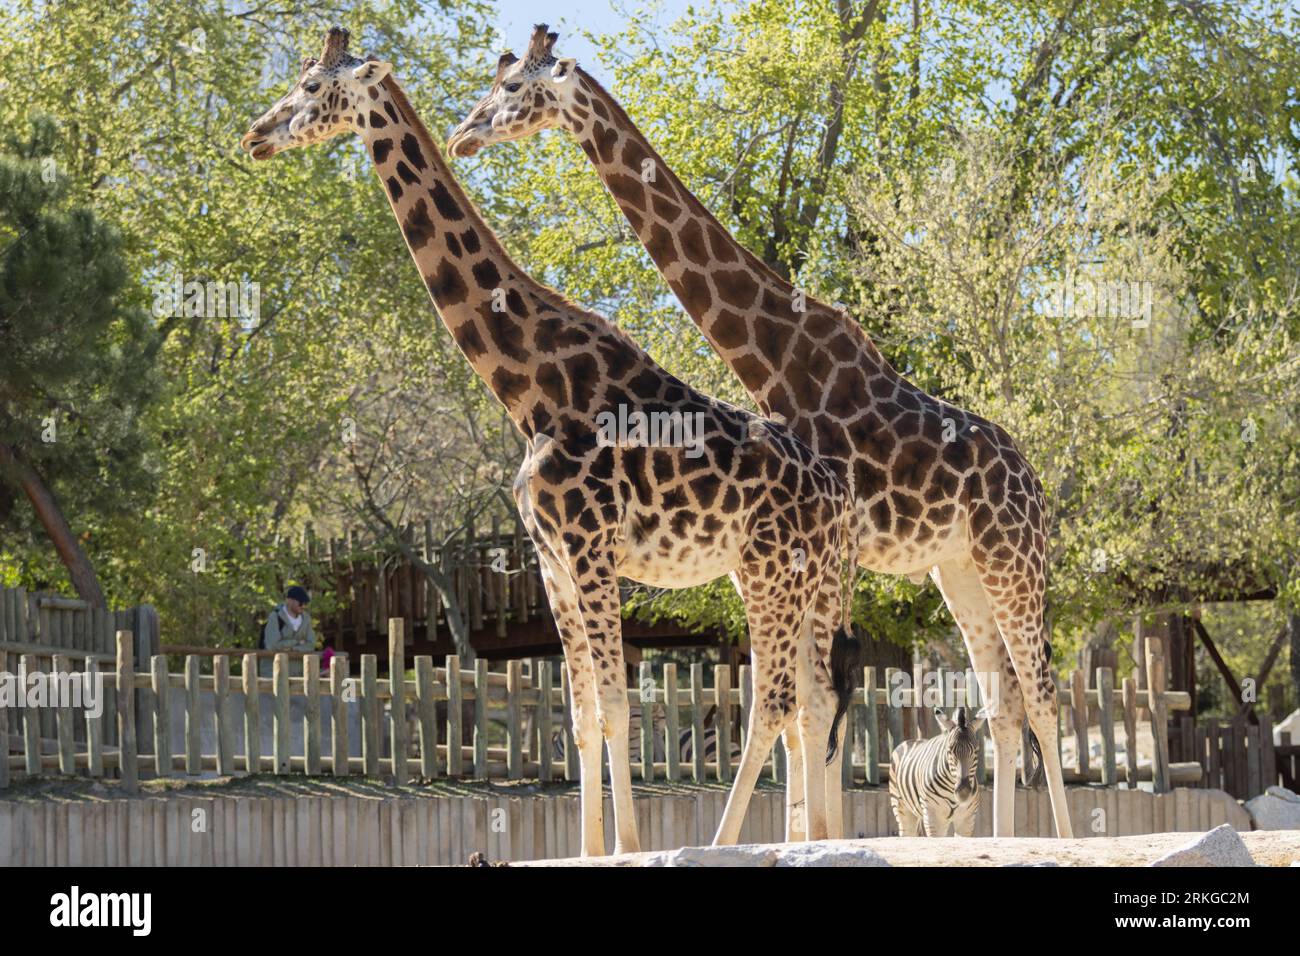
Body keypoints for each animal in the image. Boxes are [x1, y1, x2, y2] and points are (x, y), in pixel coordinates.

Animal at [241, 27, 861, 854]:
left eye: (312, 88)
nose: (255, 135)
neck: (529, 387)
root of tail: (837, 494)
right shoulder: (551, 558)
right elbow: (582, 713)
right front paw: (591, 847)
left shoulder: (593, 547)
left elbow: (621, 707)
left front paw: (629, 848)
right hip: (787, 581)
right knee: (813, 701)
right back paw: (811, 838)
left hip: (773, 572)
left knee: (777, 700)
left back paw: (732, 842)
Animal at [447, 25, 1075, 840]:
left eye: (514, 89)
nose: (463, 134)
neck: (776, 356)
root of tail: (1034, 481)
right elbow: (814, 705)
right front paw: (805, 836)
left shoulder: (836, 547)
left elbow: (818, 702)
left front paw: (814, 838)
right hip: (958, 566)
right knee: (1003, 701)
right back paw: (997, 839)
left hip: (1013, 561)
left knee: (1043, 695)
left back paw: (1058, 838)